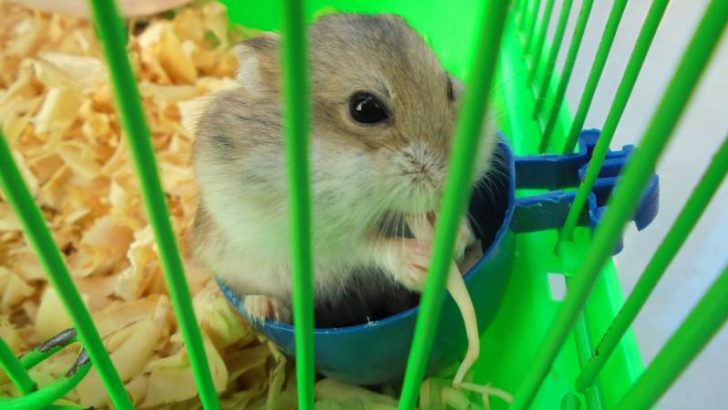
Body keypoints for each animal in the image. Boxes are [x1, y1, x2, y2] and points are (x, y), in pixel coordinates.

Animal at [192, 13, 498, 327]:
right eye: (365, 108)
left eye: (448, 85)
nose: (450, 182)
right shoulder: (313, 240)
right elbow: (365, 244)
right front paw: (419, 264)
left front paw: (458, 238)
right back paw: (264, 308)